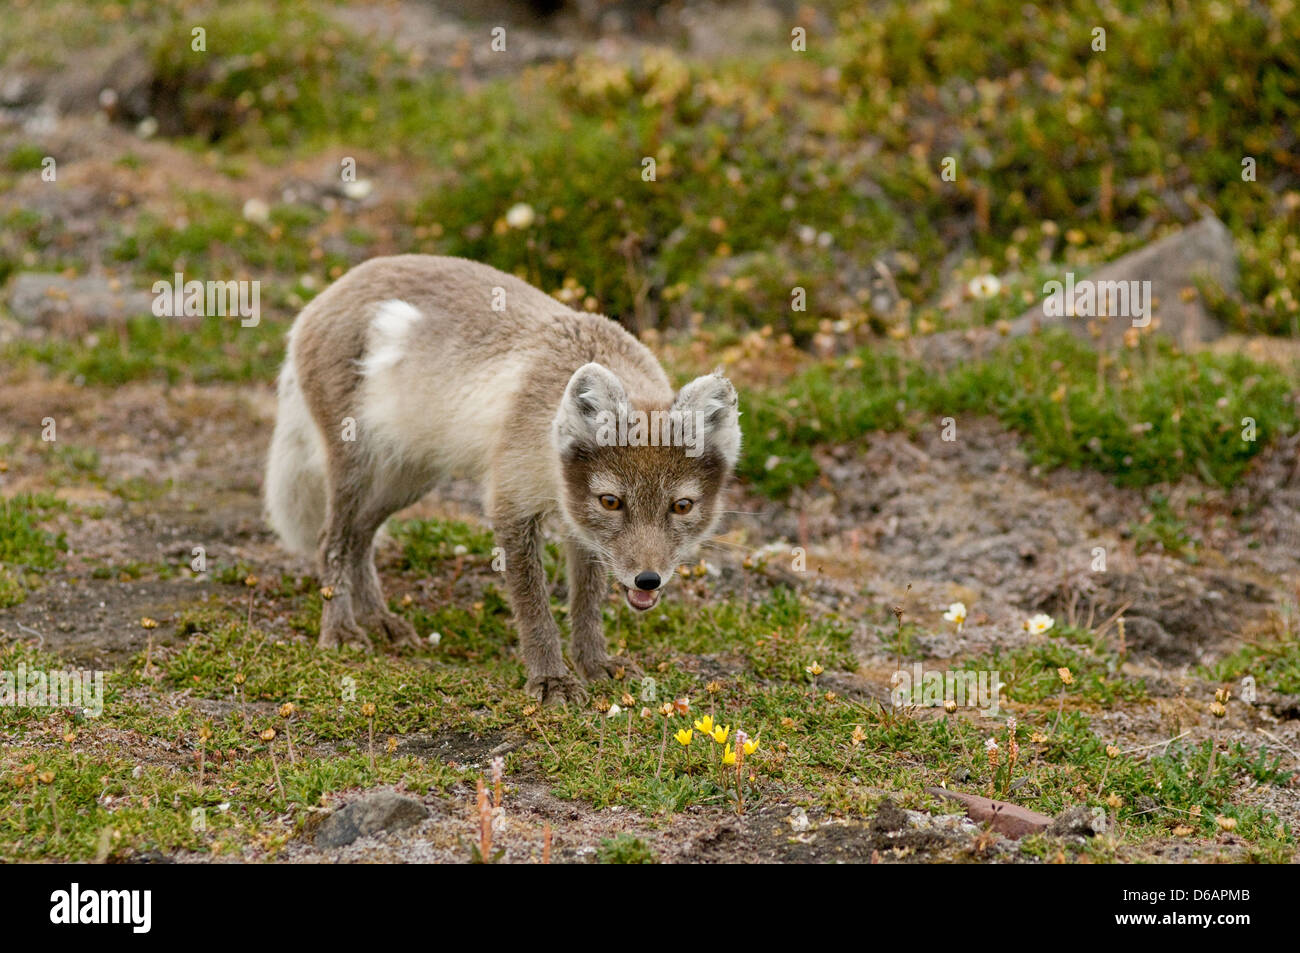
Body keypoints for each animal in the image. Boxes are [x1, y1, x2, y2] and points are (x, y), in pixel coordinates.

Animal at [264, 255, 741, 705]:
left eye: (681, 506)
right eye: (612, 502)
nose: (647, 580)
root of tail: (328, 292)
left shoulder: (579, 526)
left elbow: (586, 603)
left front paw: (593, 663)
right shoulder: (510, 505)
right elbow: (534, 608)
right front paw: (550, 679)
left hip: (411, 477)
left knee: (361, 536)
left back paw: (379, 620)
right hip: (355, 464)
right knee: (332, 539)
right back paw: (341, 629)